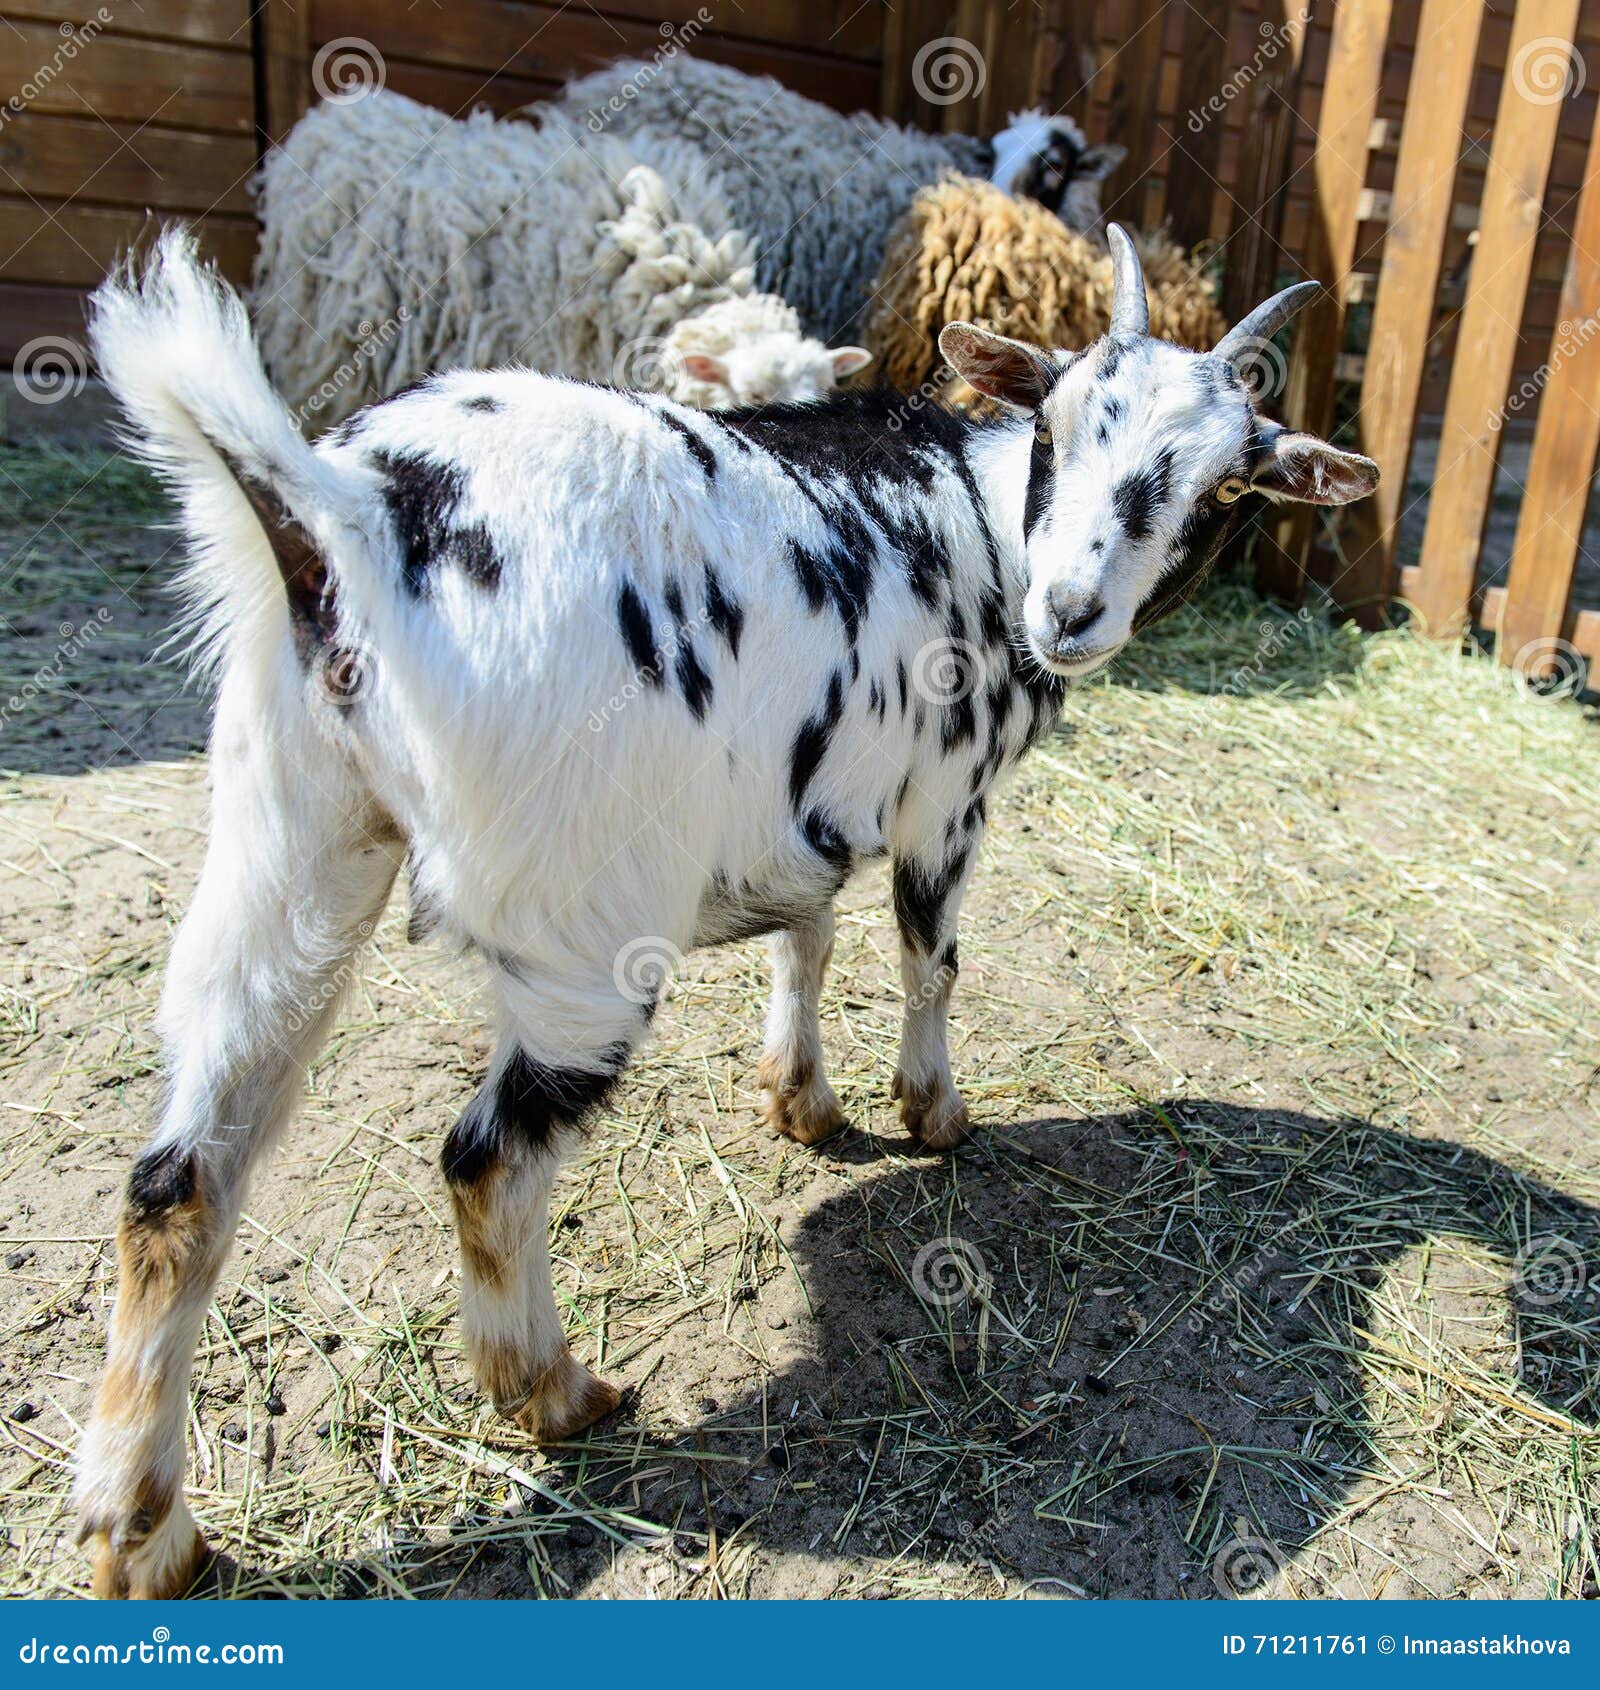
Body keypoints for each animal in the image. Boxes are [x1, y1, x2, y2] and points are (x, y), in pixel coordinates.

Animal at [75, 226, 1375, 1597]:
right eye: (1059, 424)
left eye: (1227, 486)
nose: (1066, 614)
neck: (980, 520)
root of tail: (349, 508)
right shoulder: (944, 798)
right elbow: (927, 959)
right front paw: (933, 1114)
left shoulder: (813, 797)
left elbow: (810, 935)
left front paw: (800, 1098)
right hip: (578, 933)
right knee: (484, 1161)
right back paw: (553, 1390)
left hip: (288, 847)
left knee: (179, 1182)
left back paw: (145, 1529)